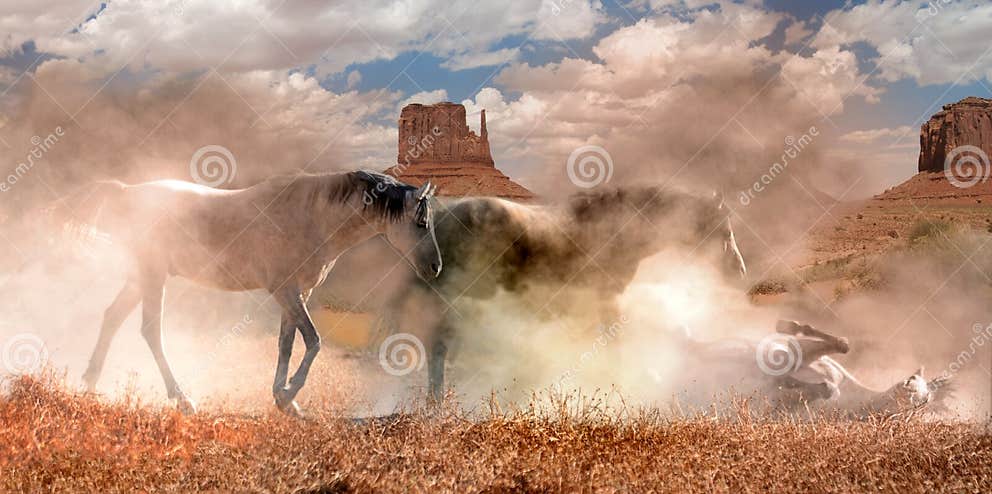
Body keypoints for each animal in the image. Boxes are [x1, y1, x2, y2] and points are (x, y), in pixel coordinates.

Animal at [51, 170, 442, 416]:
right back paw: (183, 399)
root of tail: (126, 192)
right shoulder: (285, 290)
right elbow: (313, 341)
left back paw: (90, 383)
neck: (313, 216)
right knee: (150, 331)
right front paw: (290, 395)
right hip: (152, 276)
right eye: (421, 222)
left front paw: (285, 400)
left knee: (112, 317)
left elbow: (286, 344)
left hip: (141, 278)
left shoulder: (293, 295)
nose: (435, 267)